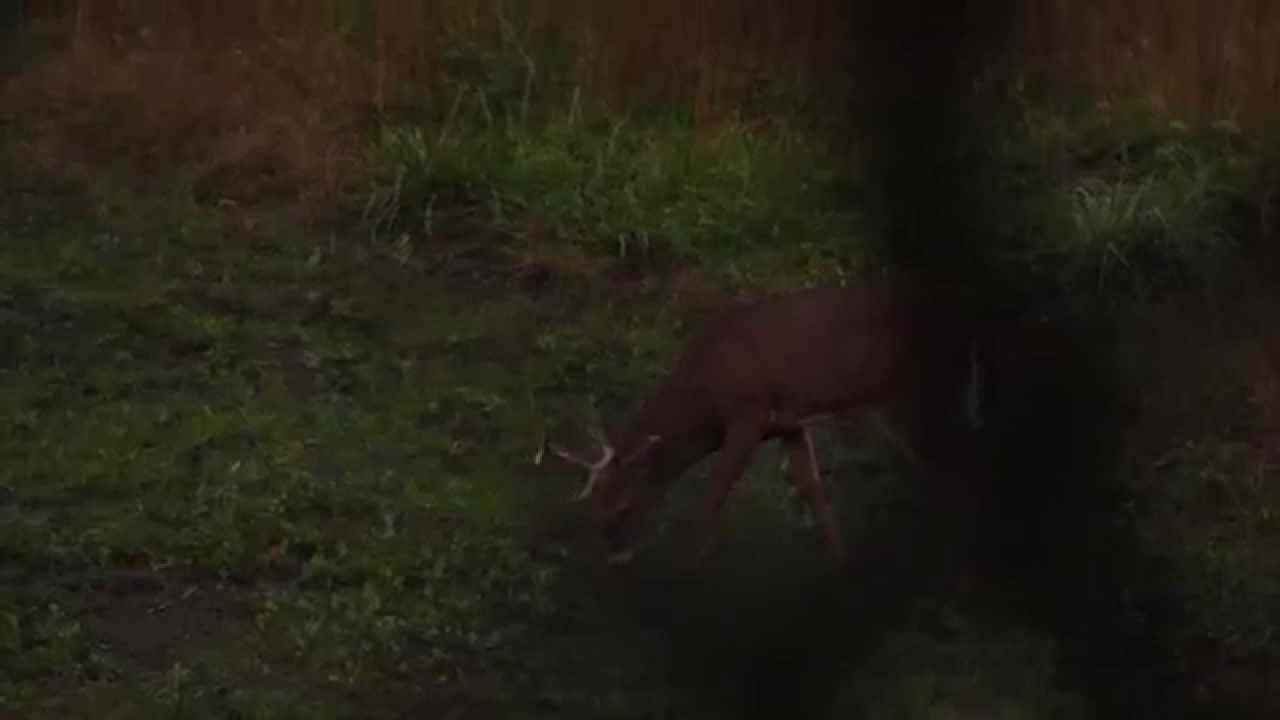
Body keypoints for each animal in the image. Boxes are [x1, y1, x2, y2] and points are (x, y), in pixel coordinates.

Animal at [535, 273, 992, 571]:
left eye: (623, 505)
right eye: (593, 509)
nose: (615, 555)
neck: (701, 400)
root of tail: (970, 325)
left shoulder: (748, 412)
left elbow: (714, 494)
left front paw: (690, 573)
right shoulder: (789, 422)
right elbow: (811, 488)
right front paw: (841, 565)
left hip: (911, 391)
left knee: (944, 465)